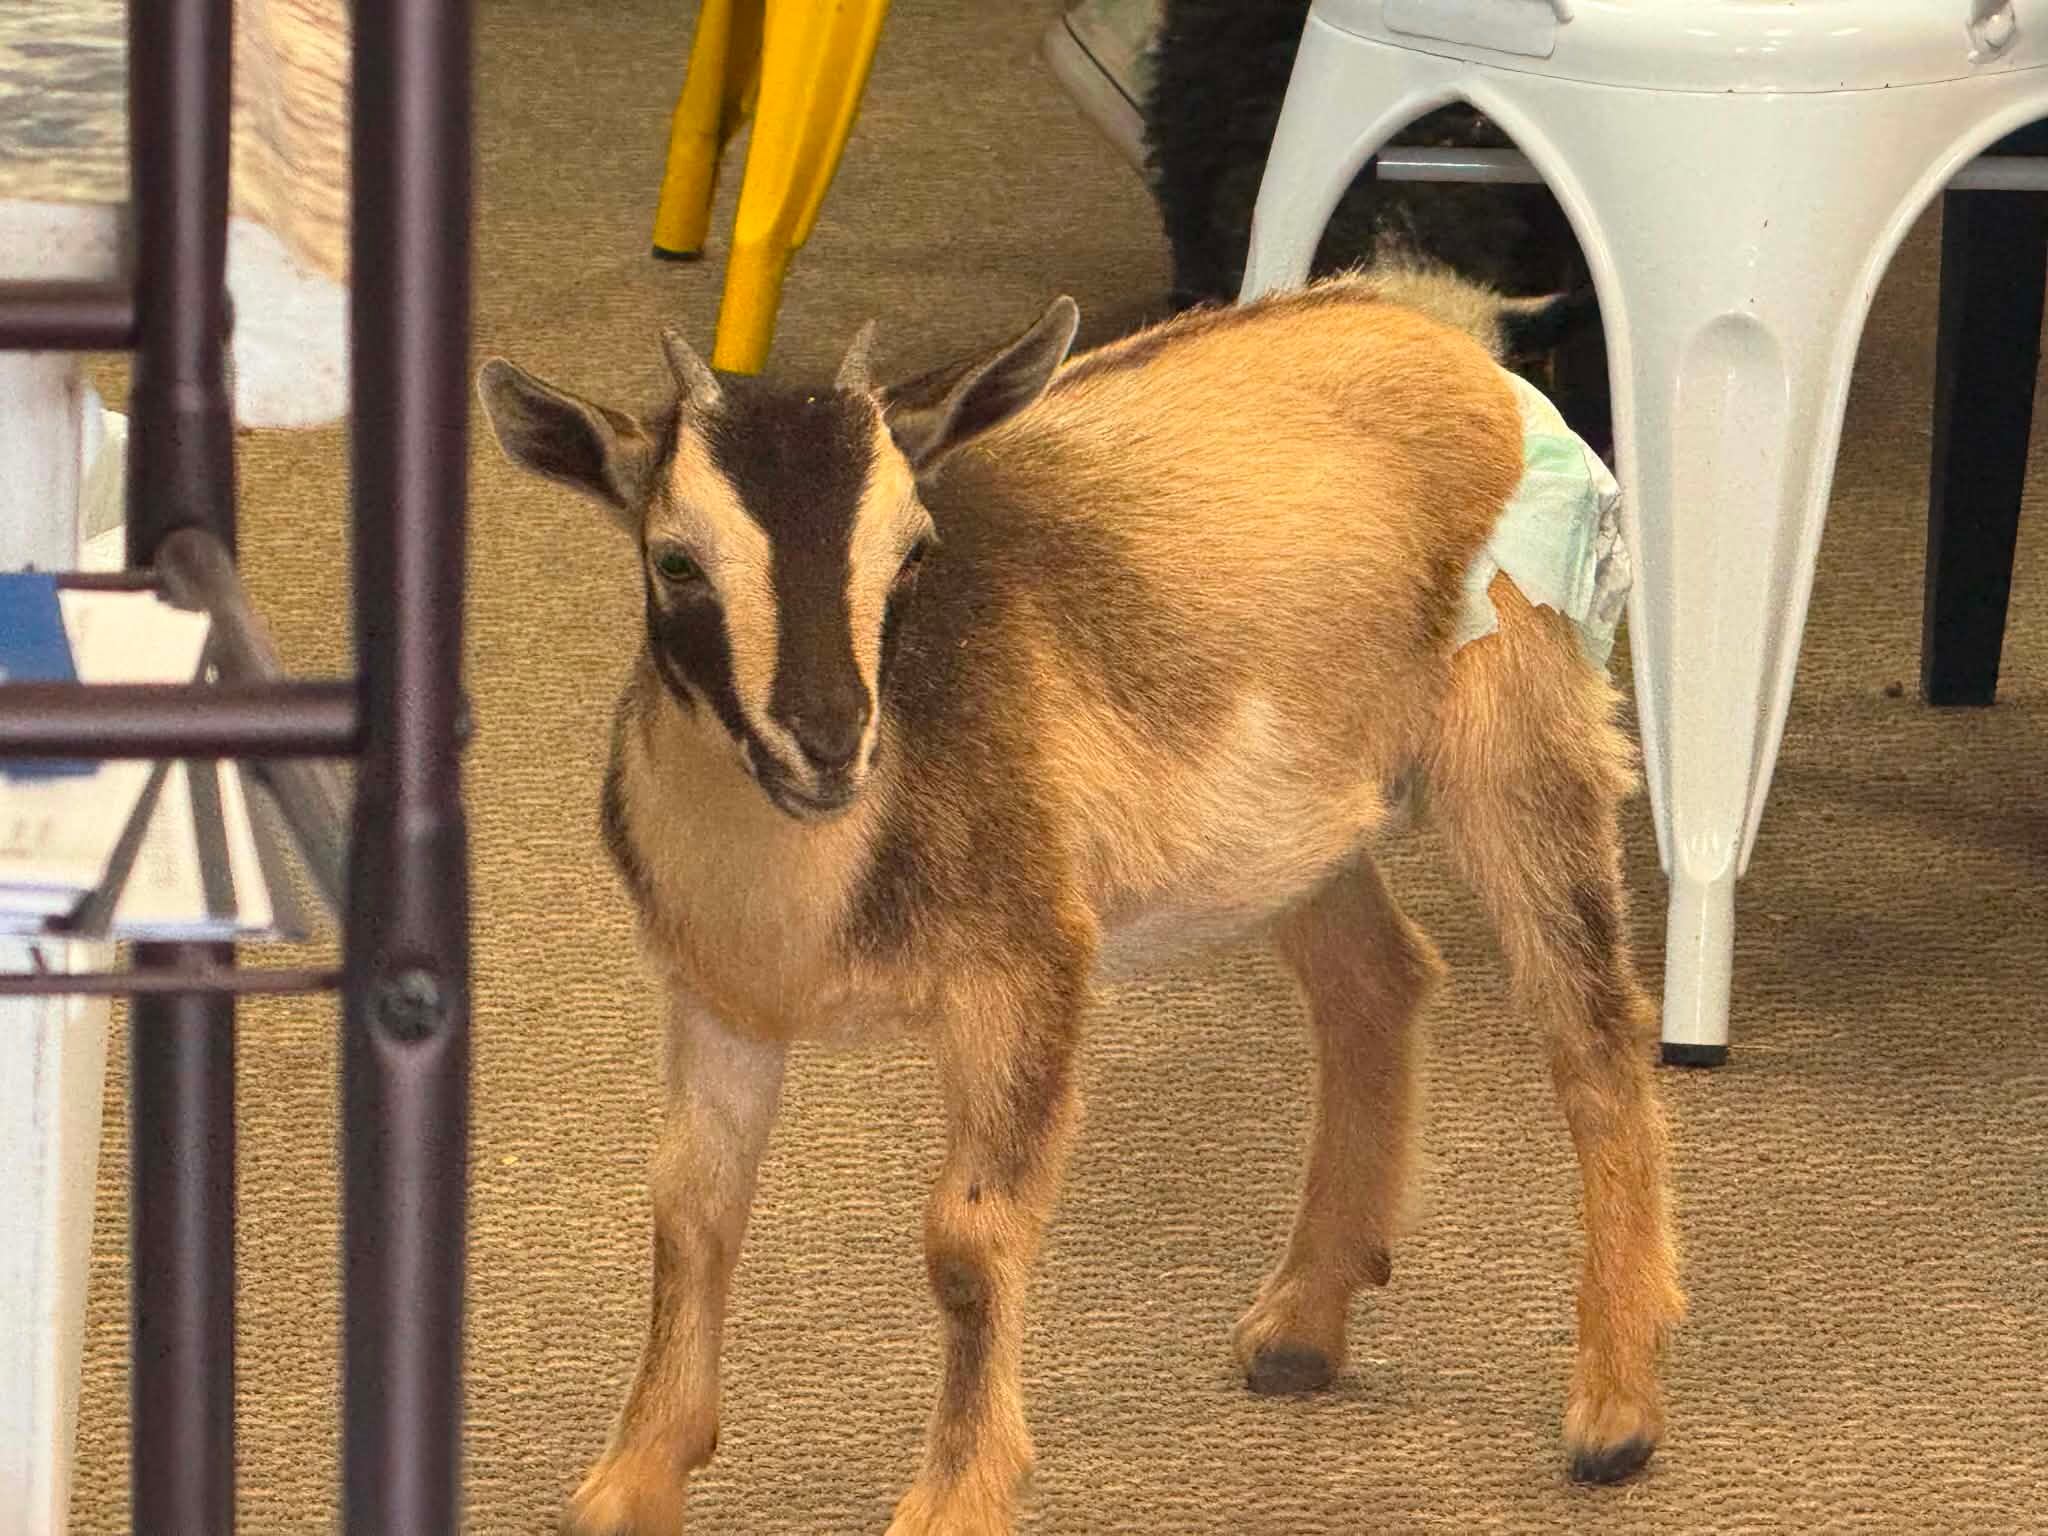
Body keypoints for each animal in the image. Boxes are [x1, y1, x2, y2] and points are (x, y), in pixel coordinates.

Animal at [477, 265, 1683, 1536]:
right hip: (1294, 819)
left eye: (913, 552)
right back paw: (1301, 1324)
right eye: (673, 562)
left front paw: (952, 1499)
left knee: (1594, 1029)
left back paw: (1612, 1407)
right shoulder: (719, 999)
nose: (826, 742)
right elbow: (690, 1208)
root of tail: (1444, 328)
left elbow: (965, 1237)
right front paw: (631, 1480)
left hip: (1518, 720)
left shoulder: (1023, 961)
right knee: (1375, 982)